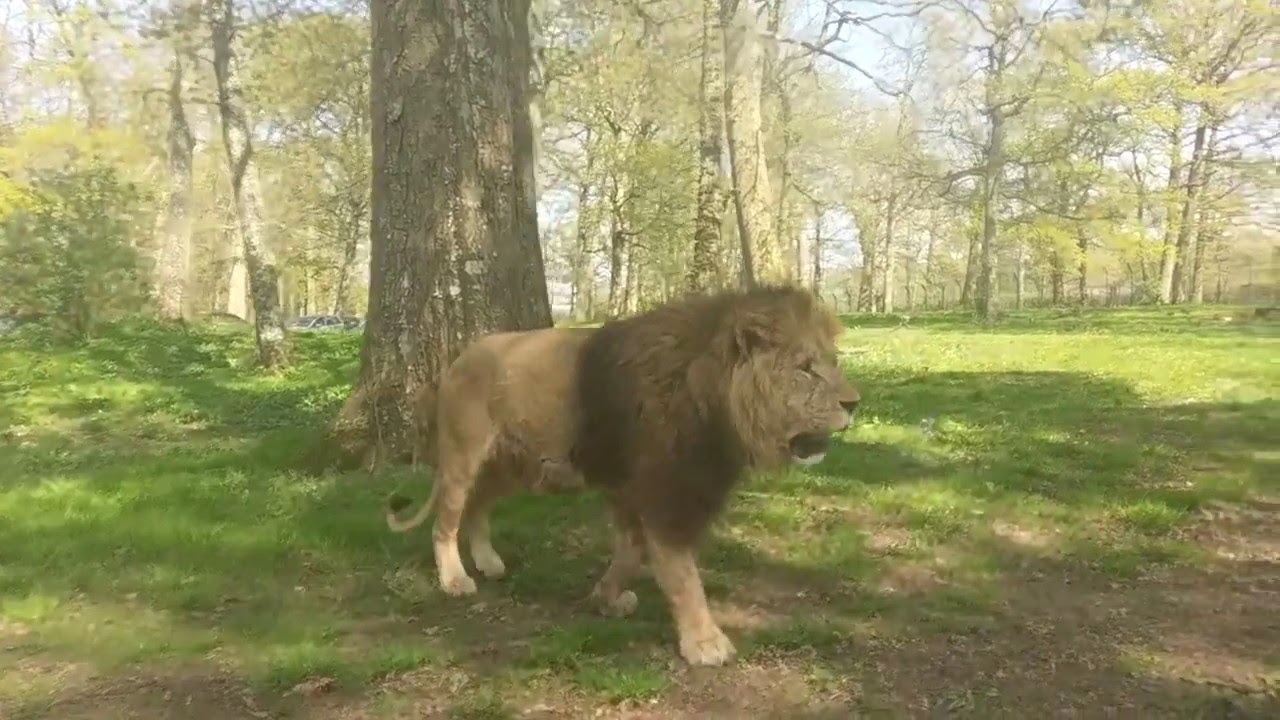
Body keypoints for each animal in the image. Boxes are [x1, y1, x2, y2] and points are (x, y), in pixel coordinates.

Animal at [384, 326, 595, 596]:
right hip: (462, 461)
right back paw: (455, 581)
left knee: (475, 507)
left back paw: (488, 563)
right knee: (443, 527)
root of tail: (456, 363)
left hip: (507, 467)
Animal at [571, 284, 860, 667]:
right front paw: (705, 642)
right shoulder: (669, 492)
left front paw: (607, 598)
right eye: (805, 369)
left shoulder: (633, 487)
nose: (854, 404)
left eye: (833, 362)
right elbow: (682, 575)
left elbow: (630, 548)